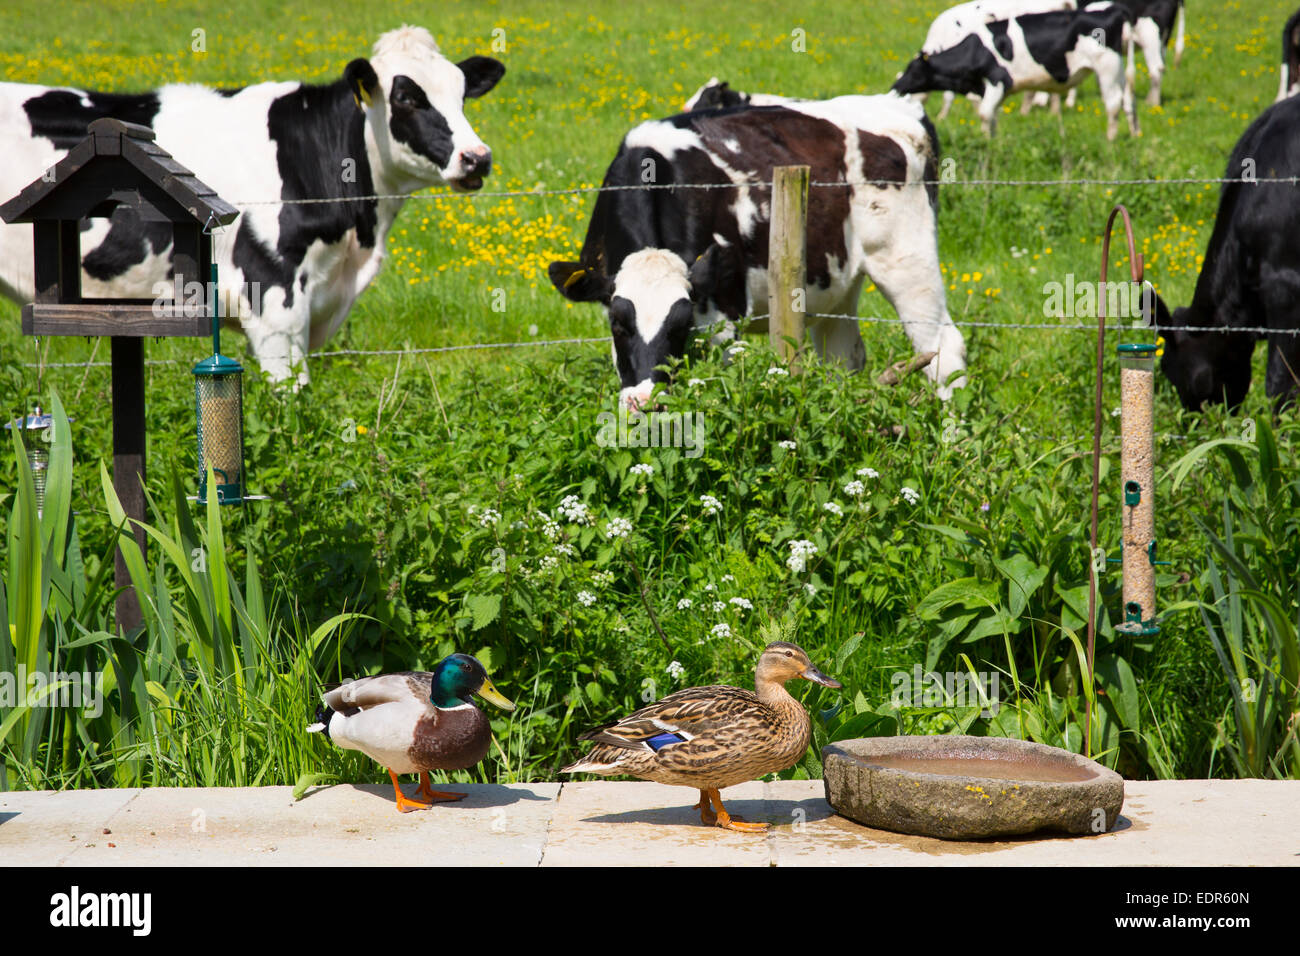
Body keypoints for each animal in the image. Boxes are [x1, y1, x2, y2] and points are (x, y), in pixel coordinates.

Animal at [548, 94, 967, 409]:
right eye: (618, 324)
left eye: (680, 325)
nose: (647, 403)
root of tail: (900, 107)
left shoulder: (723, 315)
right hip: (839, 283)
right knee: (842, 358)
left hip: (908, 260)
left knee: (943, 351)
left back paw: (954, 443)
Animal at [892, 3, 1138, 140]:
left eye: (914, 72)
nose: (895, 88)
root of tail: (1112, 10)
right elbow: (992, 116)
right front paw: (993, 140)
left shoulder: (998, 80)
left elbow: (984, 113)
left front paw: (986, 142)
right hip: (1117, 69)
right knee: (1127, 100)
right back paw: (1134, 135)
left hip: (1106, 67)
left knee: (1113, 103)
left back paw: (1110, 140)